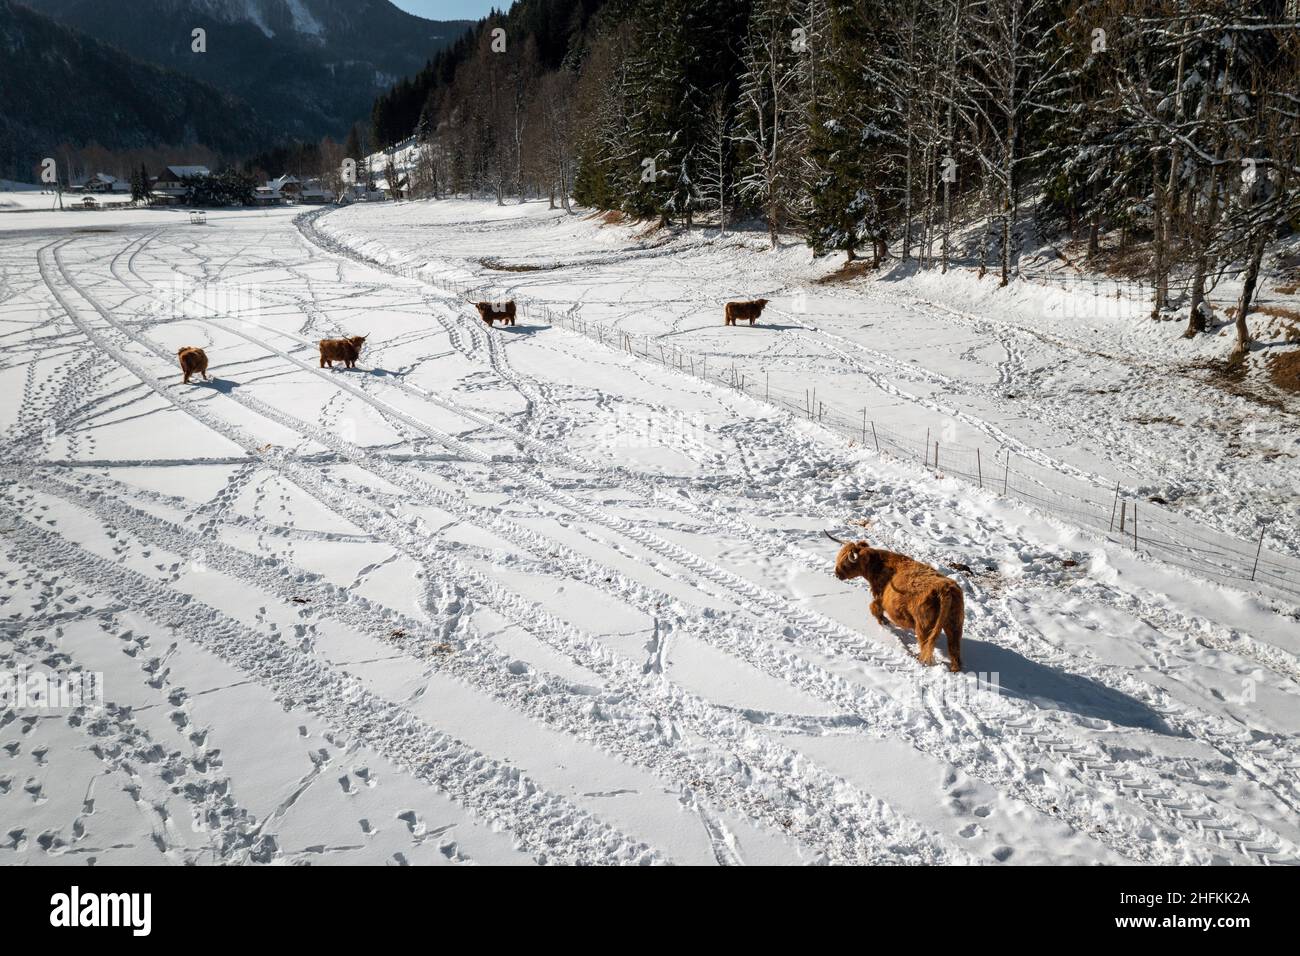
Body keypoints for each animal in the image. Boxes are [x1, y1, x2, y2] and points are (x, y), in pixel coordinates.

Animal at [826, 531, 964, 672]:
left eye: (845, 563)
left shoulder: (880, 597)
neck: (879, 566)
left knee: (926, 644)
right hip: (955, 625)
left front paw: (884, 621)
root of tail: (945, 589)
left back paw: (919, 659)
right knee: (954, 649)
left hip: (924, 626)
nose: (837, 573)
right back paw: (954, 669)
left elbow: (874, 608)